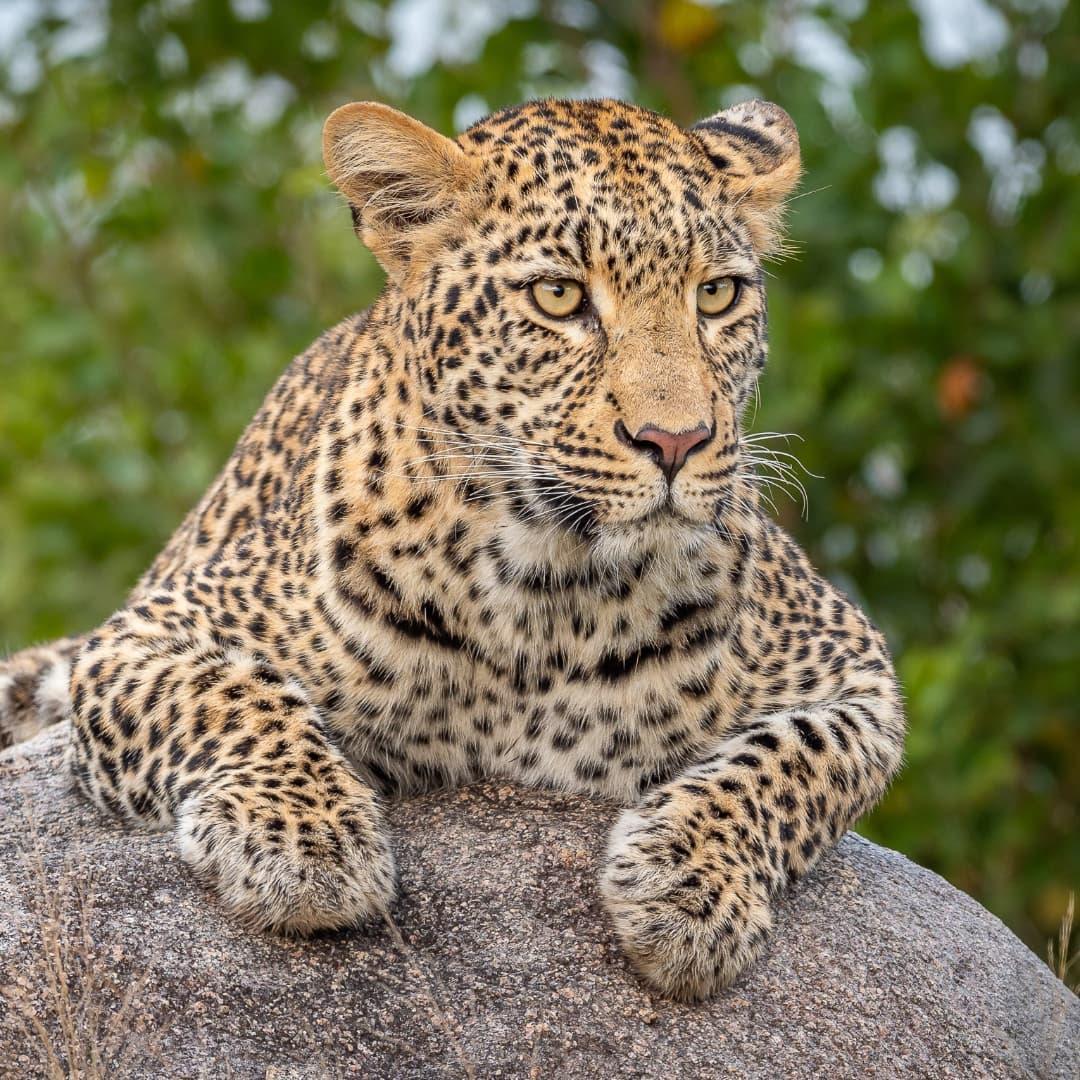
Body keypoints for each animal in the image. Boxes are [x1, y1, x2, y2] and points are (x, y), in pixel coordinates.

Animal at [0, 96, 905, 1001]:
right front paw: (305, 839)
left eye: (716, 295)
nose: (676, 440)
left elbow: (790, 759)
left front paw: (688, 887)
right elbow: (237, 696)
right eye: (558, 295)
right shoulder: (144, 632)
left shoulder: (856, 674)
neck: (552, 592)